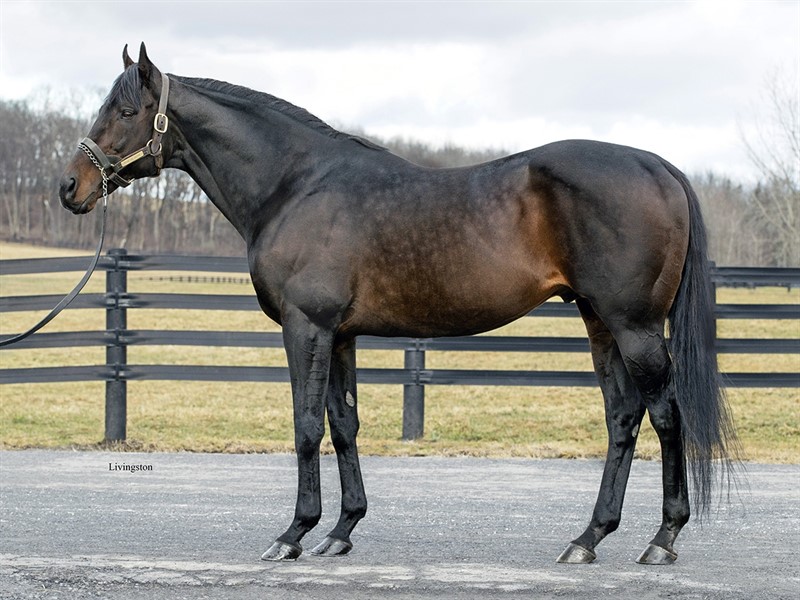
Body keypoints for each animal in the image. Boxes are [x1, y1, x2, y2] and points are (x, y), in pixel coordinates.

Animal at [59, 43, 737, 565]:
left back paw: (662, 539)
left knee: (665, 415)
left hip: (636, 326)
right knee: (623, 418)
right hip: (600, 322)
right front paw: (340, 531)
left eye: (126, 110)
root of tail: (659, 167)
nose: (71, 187)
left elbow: (306, 426)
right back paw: (588, 539)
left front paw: (293, 534)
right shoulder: (340, 334)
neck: (296, 184)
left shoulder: (307, 328)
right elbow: (344, 424)